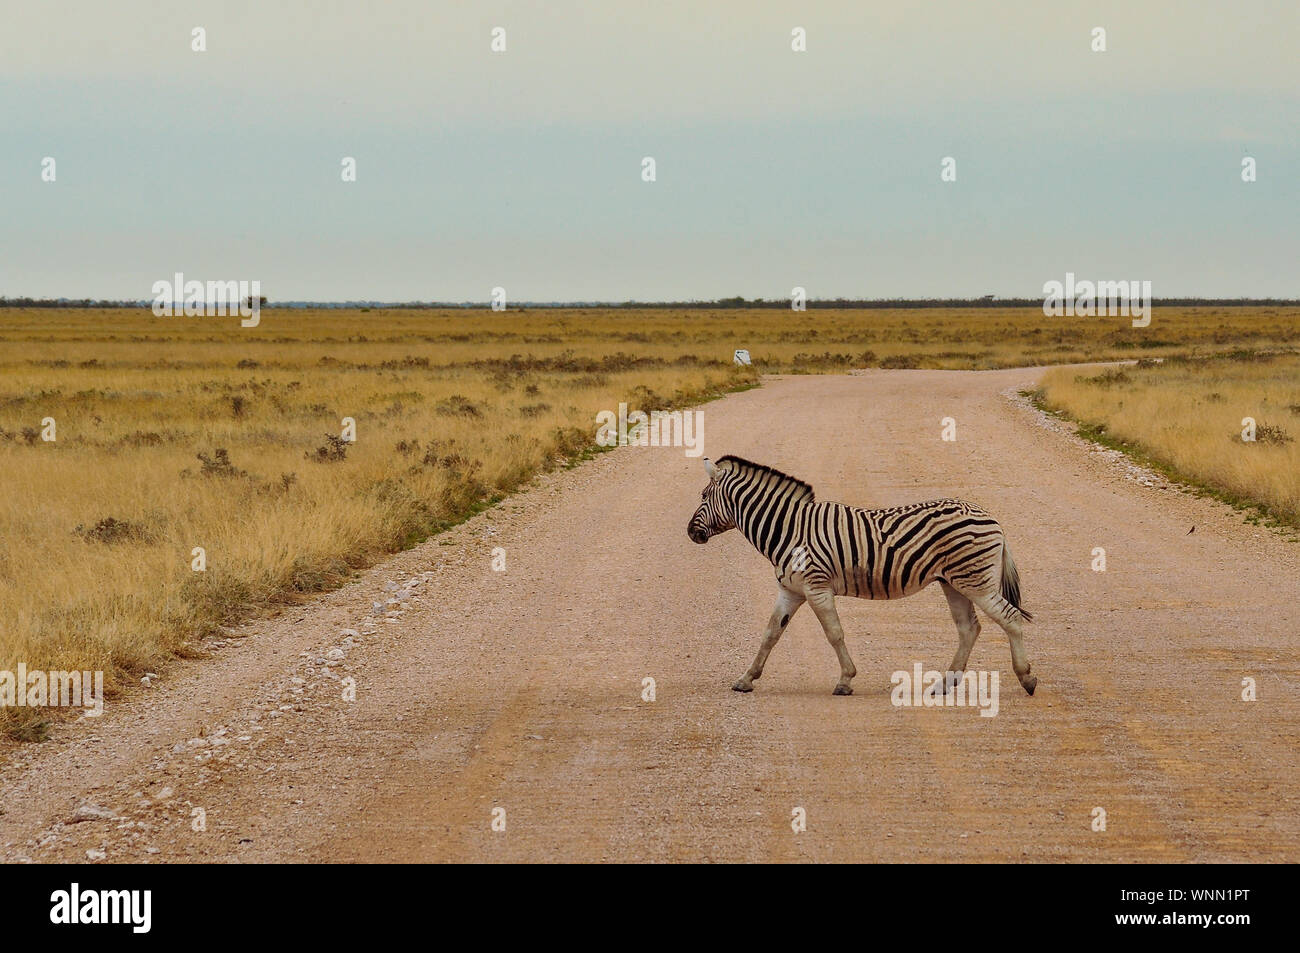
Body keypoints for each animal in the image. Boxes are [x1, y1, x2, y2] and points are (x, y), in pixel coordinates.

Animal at [686, 455, 1037, 697]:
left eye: (703, 496)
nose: (690, 533)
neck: (790, 530)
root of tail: (990, 516)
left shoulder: (816, 587)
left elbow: (834, 633)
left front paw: (845, 681)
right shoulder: (791, 590)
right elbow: (771, 632)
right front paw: (746, 679)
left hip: (974, 581)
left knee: (1009, 617)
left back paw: (1027, 678)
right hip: (953, 583)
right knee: (969, 628)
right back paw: (944, 684)